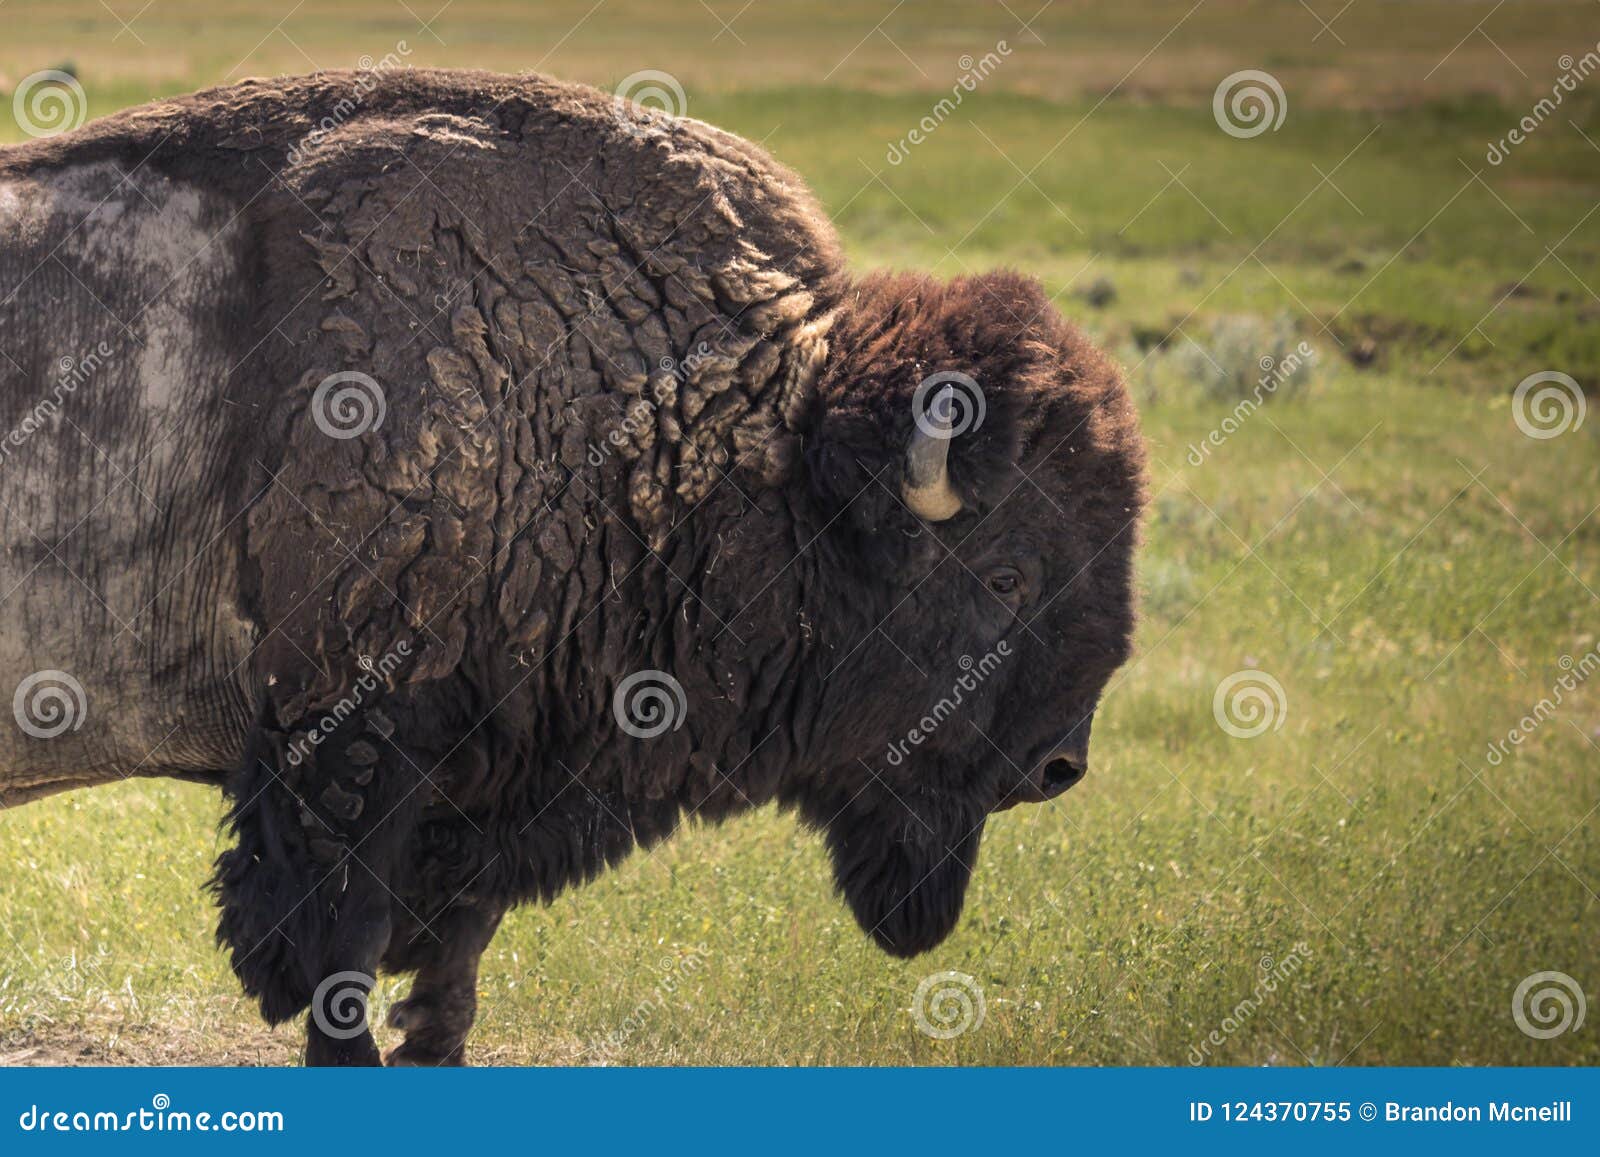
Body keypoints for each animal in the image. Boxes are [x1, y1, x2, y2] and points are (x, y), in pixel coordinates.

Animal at [0, 70, 1144, 1064]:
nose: (1057, 764)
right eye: (1005, 576)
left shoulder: (484, 791)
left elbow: (448, 981)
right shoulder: (351, 753)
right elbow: (343, 962)